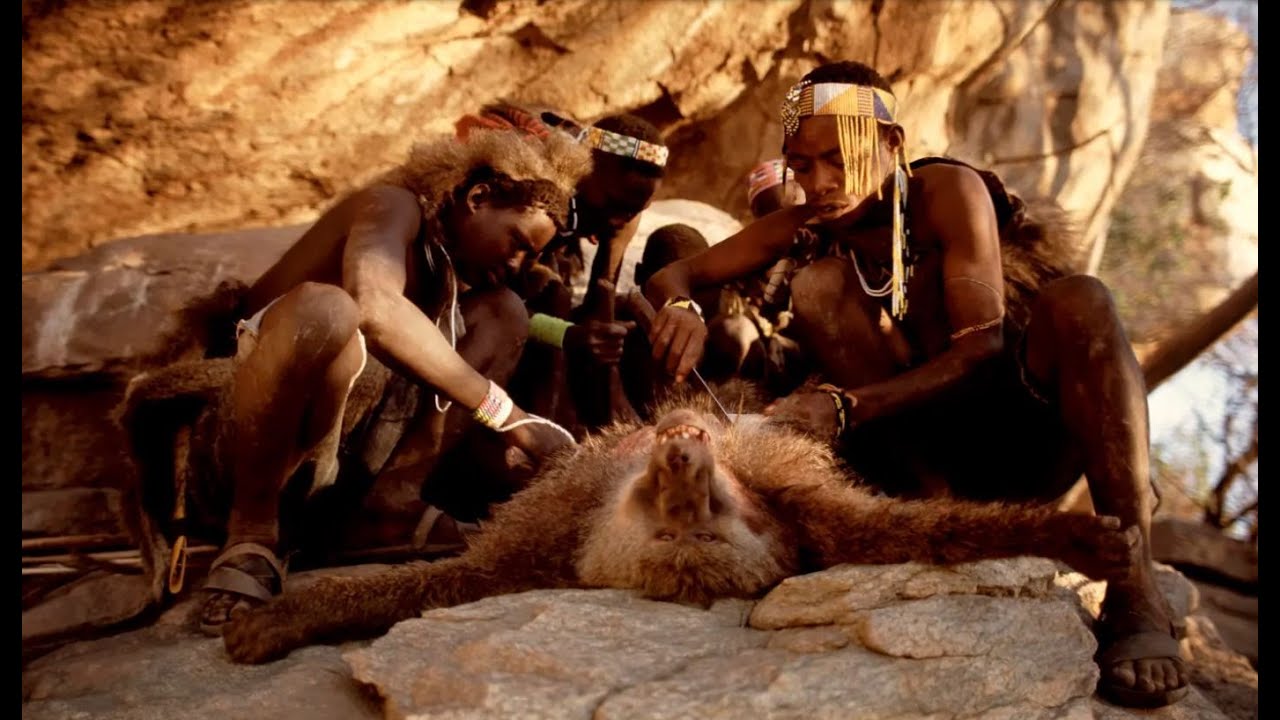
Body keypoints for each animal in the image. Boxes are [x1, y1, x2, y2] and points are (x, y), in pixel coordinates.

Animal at [220, 385, 1140, 665]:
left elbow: (921, 533)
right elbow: (440, 582)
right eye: (676, 517)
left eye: (709, 520)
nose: (684, 461)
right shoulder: (543, 537)